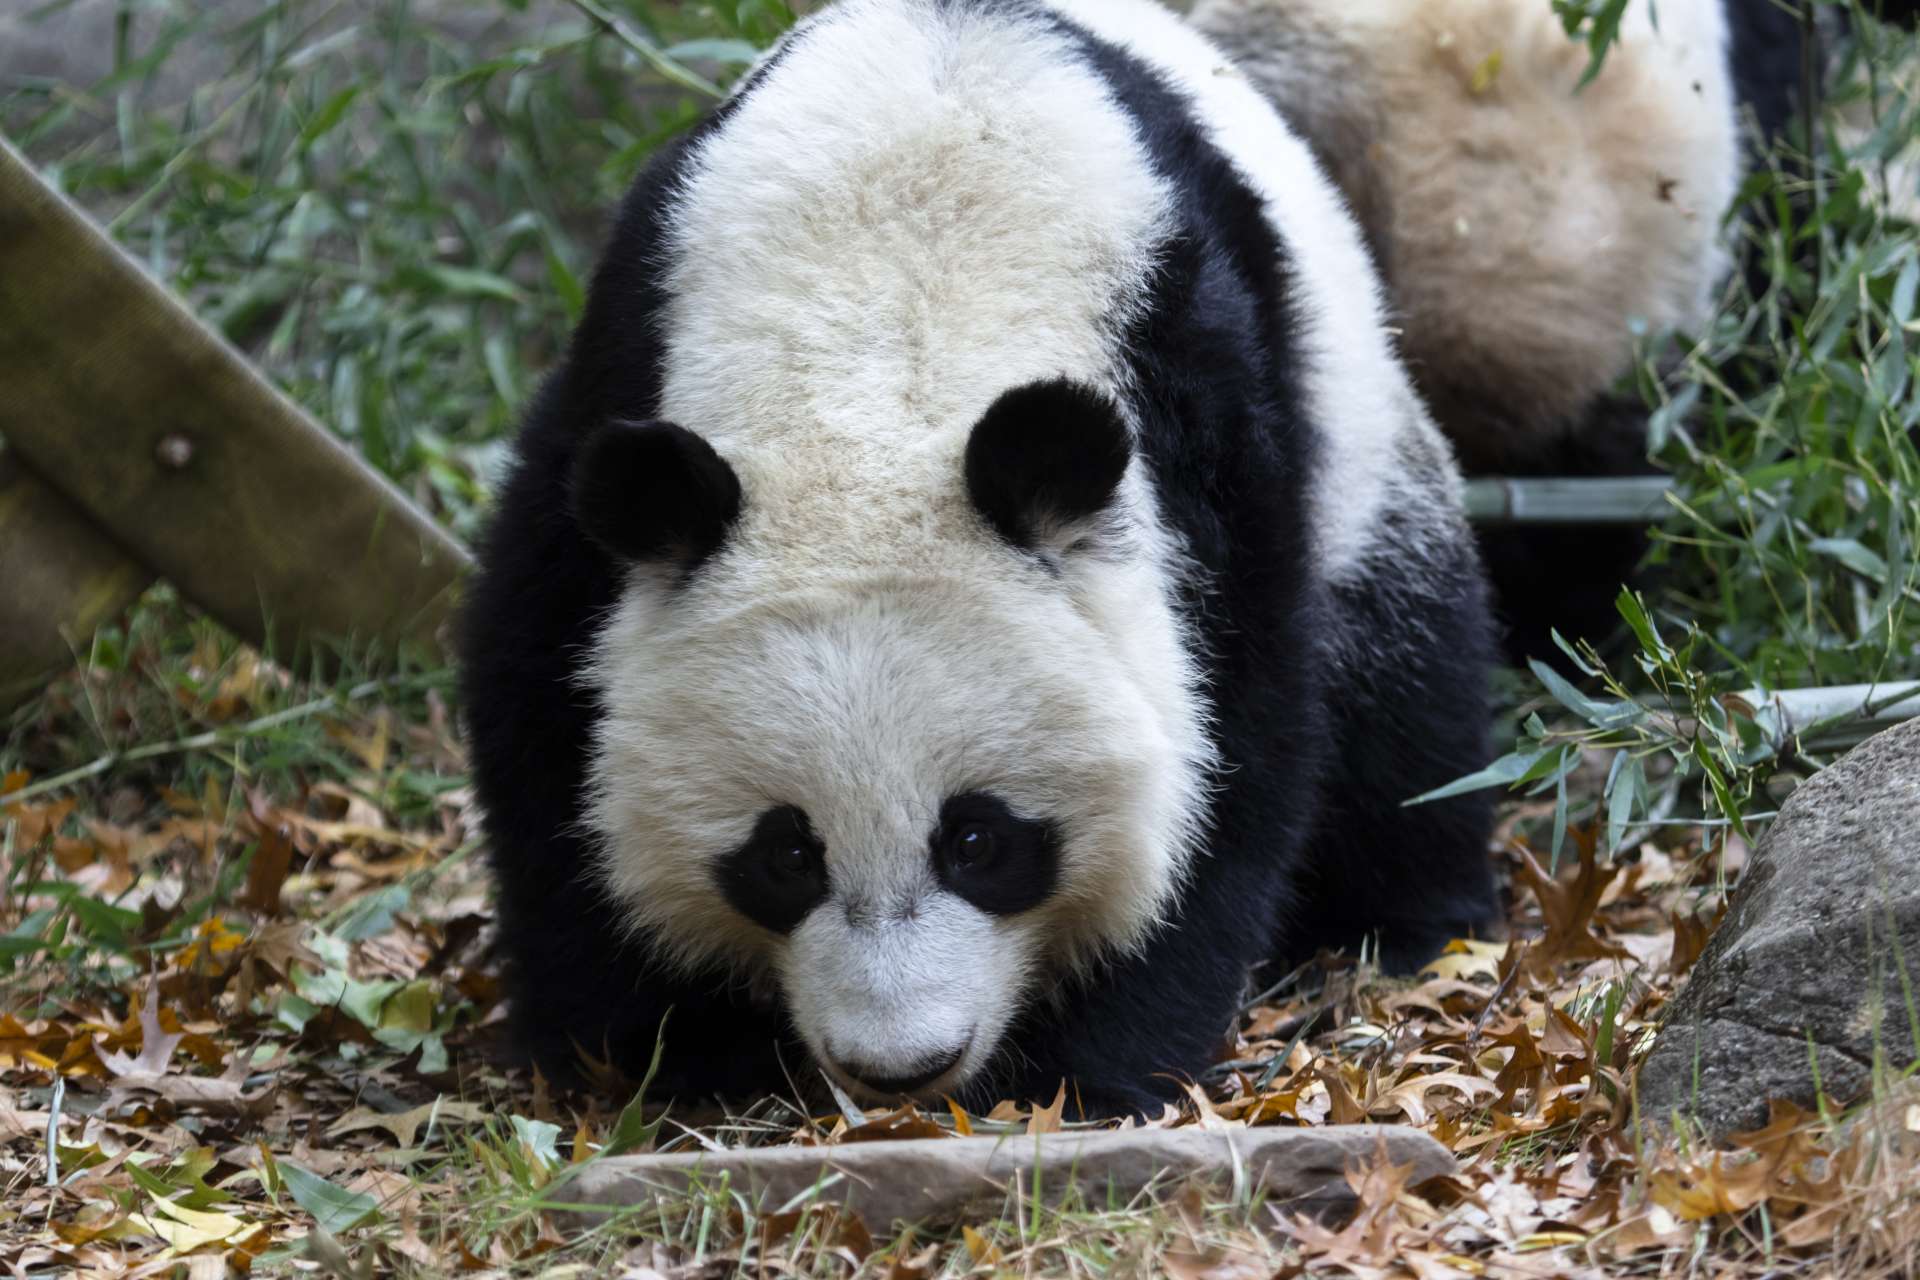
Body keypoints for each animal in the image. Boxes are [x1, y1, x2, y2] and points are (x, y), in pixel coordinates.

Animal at [461, 0, 1499, 1117]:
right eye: (785, 853)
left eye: (980, 841)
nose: (901, 1065)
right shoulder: (623, 367)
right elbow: (542, 714)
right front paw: (665, 1043)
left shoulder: (1206, 431)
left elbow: (1235, 736)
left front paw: (1098, 1060)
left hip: (1365, 430)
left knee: (1409, 667)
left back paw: (1407, 922)